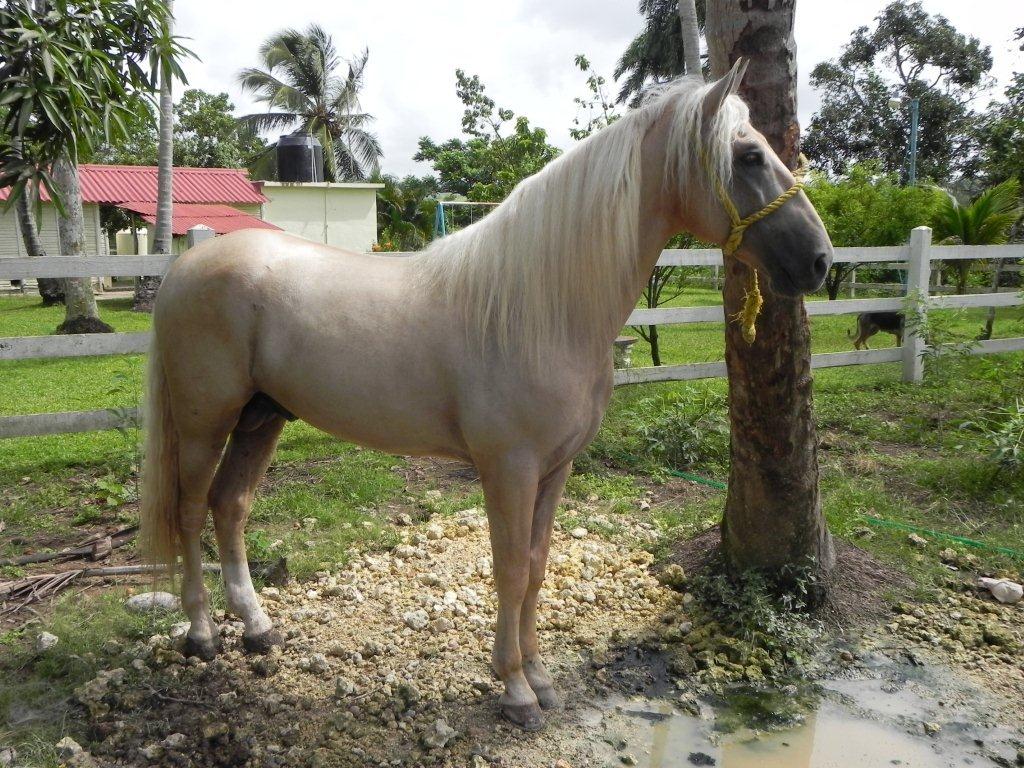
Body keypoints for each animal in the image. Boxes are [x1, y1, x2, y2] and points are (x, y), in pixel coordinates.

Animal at [140, 59, 832, 731]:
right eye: (748, 155)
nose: (820, 260)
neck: (543, 310)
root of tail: (186, 266)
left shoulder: (556, 467)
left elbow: (539, 563)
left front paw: (542, 678)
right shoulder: (509, 467)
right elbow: (511, 568)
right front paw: (516, 690)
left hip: (262, 417)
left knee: (230, 507)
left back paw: (258, 628)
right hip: (206, 422)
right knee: (189, 511)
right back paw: (202, 636)